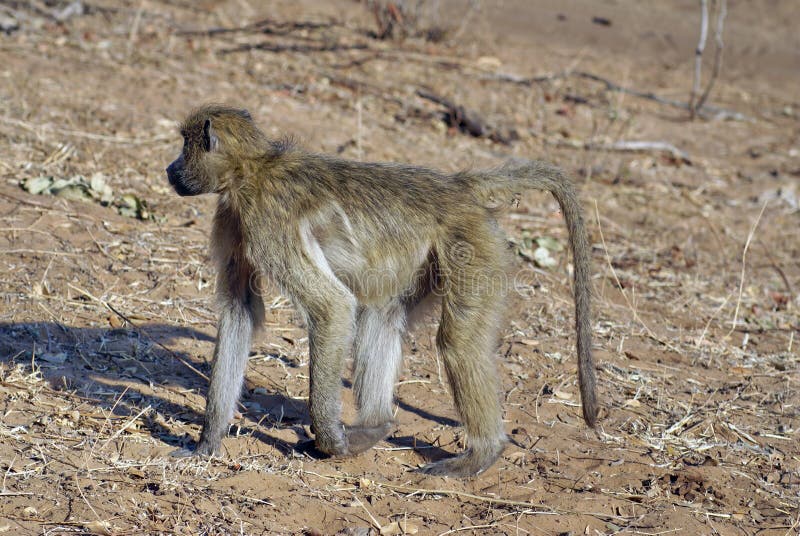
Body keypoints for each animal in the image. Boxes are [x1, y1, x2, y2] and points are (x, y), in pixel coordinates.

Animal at [166, 104, 597, 477]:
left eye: (185, 146)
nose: (170, 169)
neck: (252, 168)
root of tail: (457, 186)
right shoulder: (235, 219)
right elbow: (239, 311)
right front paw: (206, 444)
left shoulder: (266, 219)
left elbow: (332, 307)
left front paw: (331, 440)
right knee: (382, 316)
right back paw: (375, 427)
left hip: (472, 247)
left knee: (457, 343)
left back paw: (481, 454)